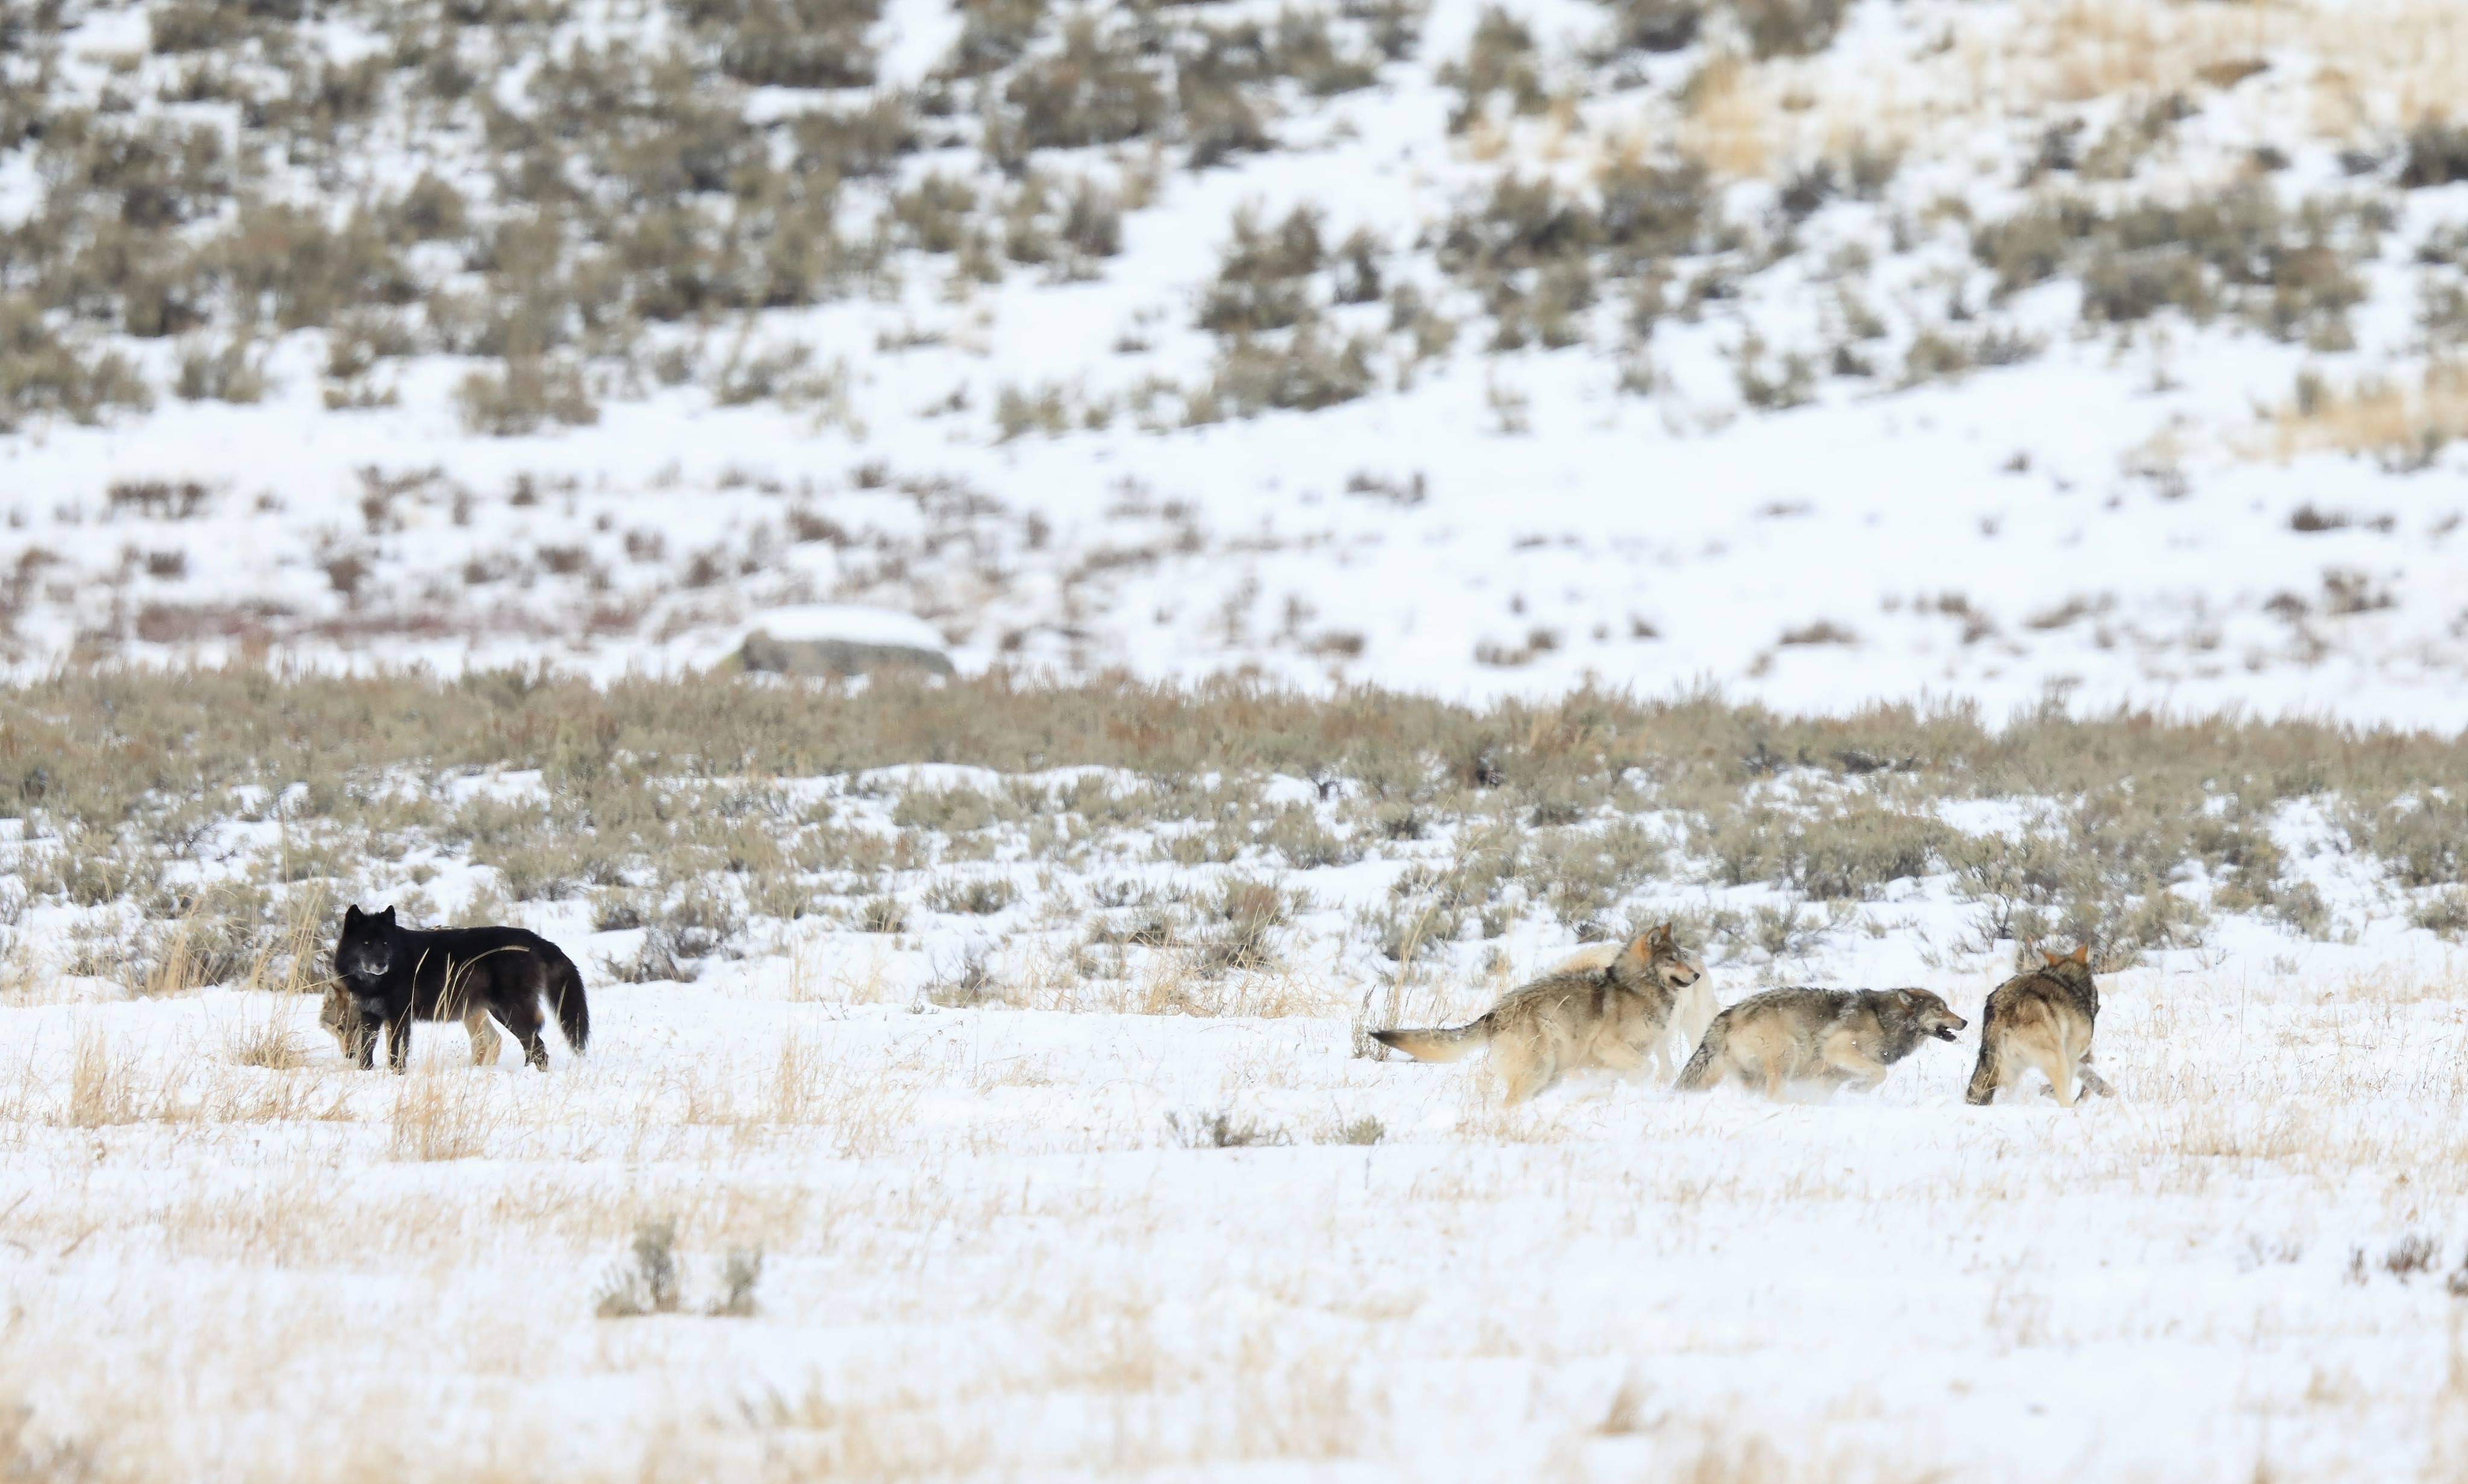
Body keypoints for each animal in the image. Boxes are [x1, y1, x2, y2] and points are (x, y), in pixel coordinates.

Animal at [329, 904, 589, 1072]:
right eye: (366, 943)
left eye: (385, 943)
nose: (381, 964)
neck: (375, 982)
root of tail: (535, 939)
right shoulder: (370, 1016)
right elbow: (366, 1051)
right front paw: (365, 1073)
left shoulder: (400, 1017)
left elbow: (397, 1051)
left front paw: (397, 1075)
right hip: (501, 1013)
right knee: (533, 1047)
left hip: (511, 1013)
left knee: (538, 1047)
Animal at [1370, 924, 1705, 1103]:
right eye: (1673, 959)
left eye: (1682, 957)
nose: (1698, 975)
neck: (1636, 987)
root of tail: (1495, 1013)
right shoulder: (1607, 1046)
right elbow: (1646, 1069)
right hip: (1539, 1072)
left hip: (1549, 1075)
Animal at [1964, 945, 2112, 1107]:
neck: (2069, 980)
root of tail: (2002, 1011)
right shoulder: (2072, 1050)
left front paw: (2104, 1089)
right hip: (2056, 1058)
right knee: (2064, 1096)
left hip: (1994, 1071)